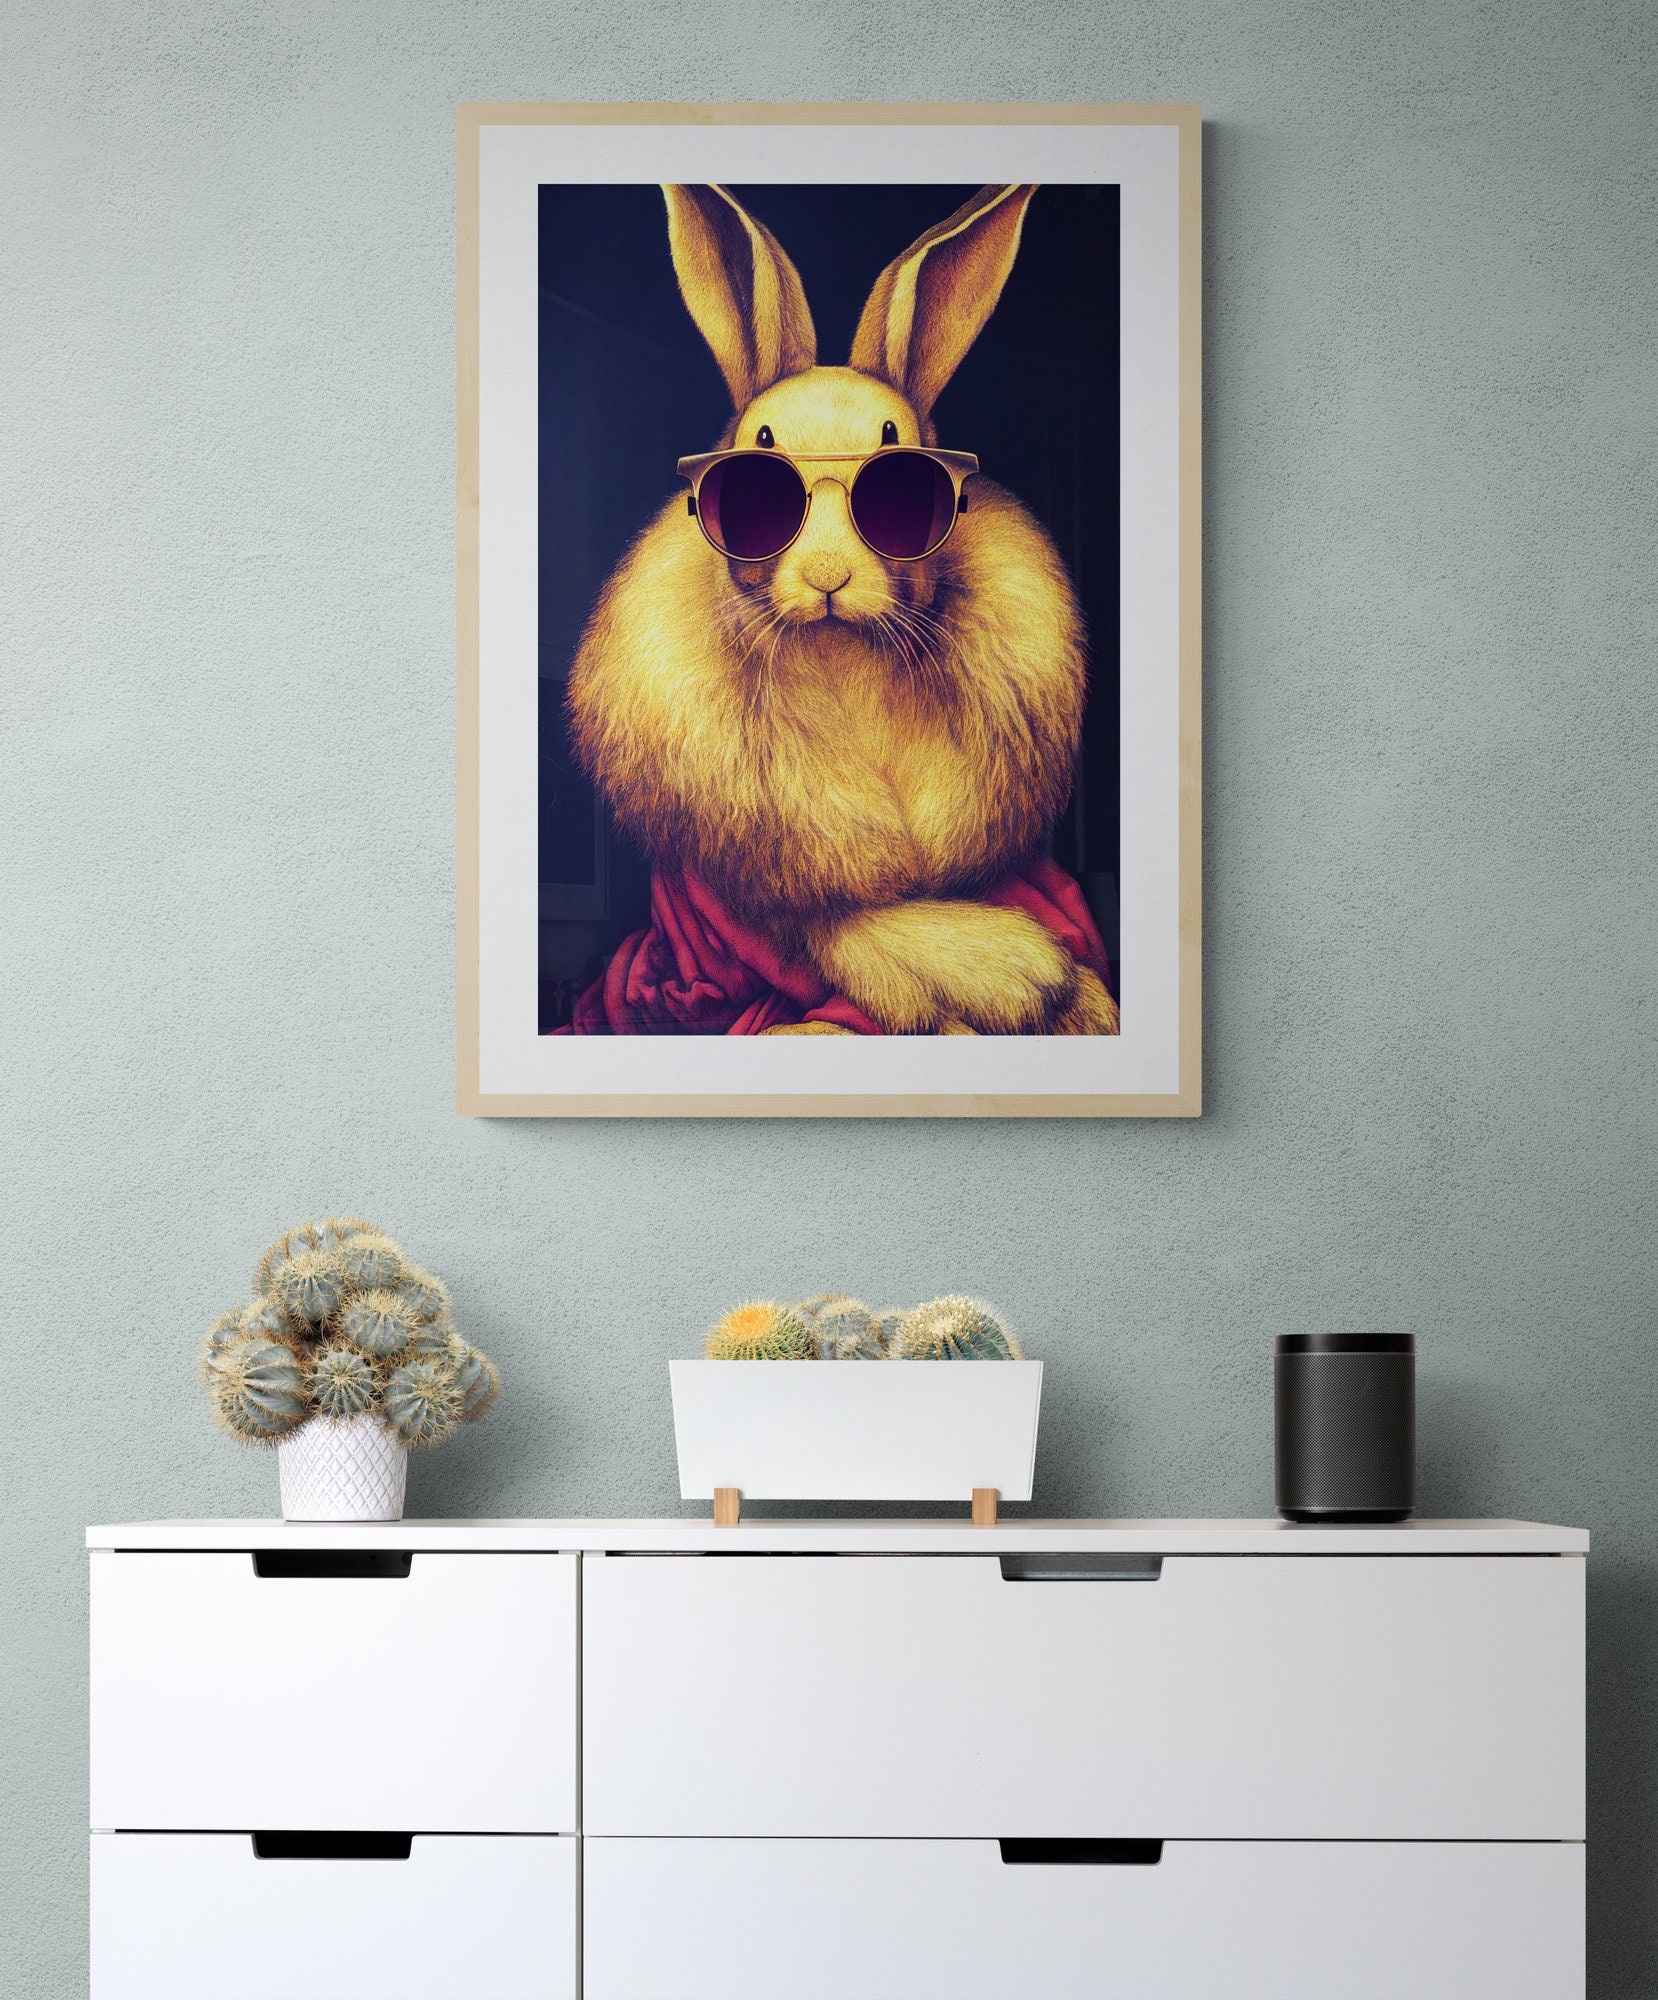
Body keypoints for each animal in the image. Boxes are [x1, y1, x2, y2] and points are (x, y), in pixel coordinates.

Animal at [566, 183, 1118, 1036]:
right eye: (754, 484)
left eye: (903, 485)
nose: (828, 577)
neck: (838, 652)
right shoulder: (758, 889)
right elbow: (843, 927)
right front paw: (1023, 973)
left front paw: (1053, 988)